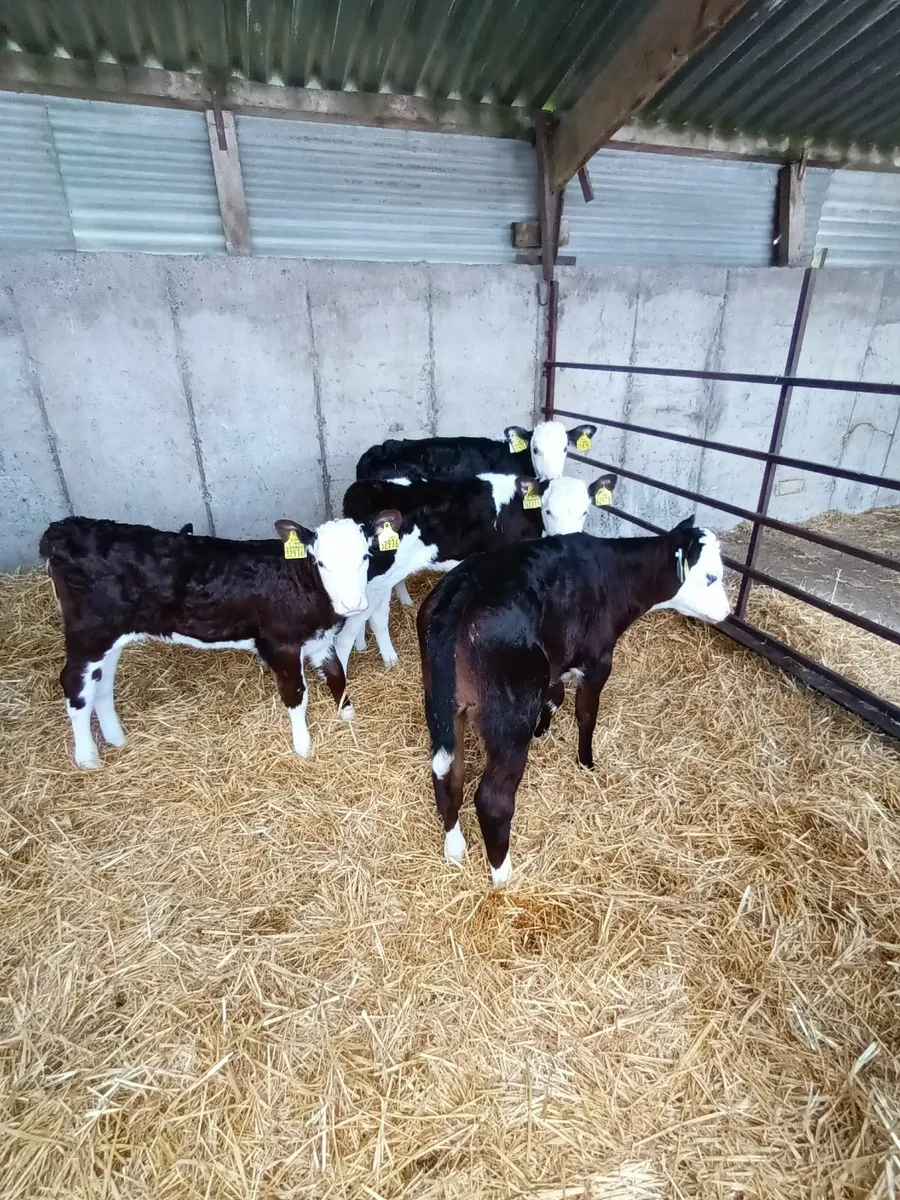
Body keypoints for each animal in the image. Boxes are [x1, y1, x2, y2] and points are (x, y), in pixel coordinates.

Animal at [40, 513, 391, 768]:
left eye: (365, 556)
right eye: (321, 563)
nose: (352, 604)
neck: (299, 581)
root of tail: (64, 527)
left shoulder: (319, 638)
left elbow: (336, 674)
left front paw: (347, 716)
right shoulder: (281, 644)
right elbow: (296, 696)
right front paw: (303, 747)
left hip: (110, 636)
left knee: (101, 684)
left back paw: (115, 738)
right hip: (89, 633)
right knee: (75, 685)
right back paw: (87, 758)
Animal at [337, 472, 617, 670]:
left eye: (585, 511)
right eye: (548, 510)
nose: (567, 540)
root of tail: (363, 487)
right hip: (376, 578)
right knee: (360, 623)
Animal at [417, 517, 731, 885]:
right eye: (711, 577)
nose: (727, 612)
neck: (615, 575)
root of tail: (459, 597)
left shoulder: (558, 661)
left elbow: (556, 697)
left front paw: (544, 730)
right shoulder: (597, 663)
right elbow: (586, 714)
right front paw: (586, 762)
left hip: (443, 707)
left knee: (448, 774)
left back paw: (454, 848)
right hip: (510, 714)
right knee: (493, 798)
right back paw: (502, 873)